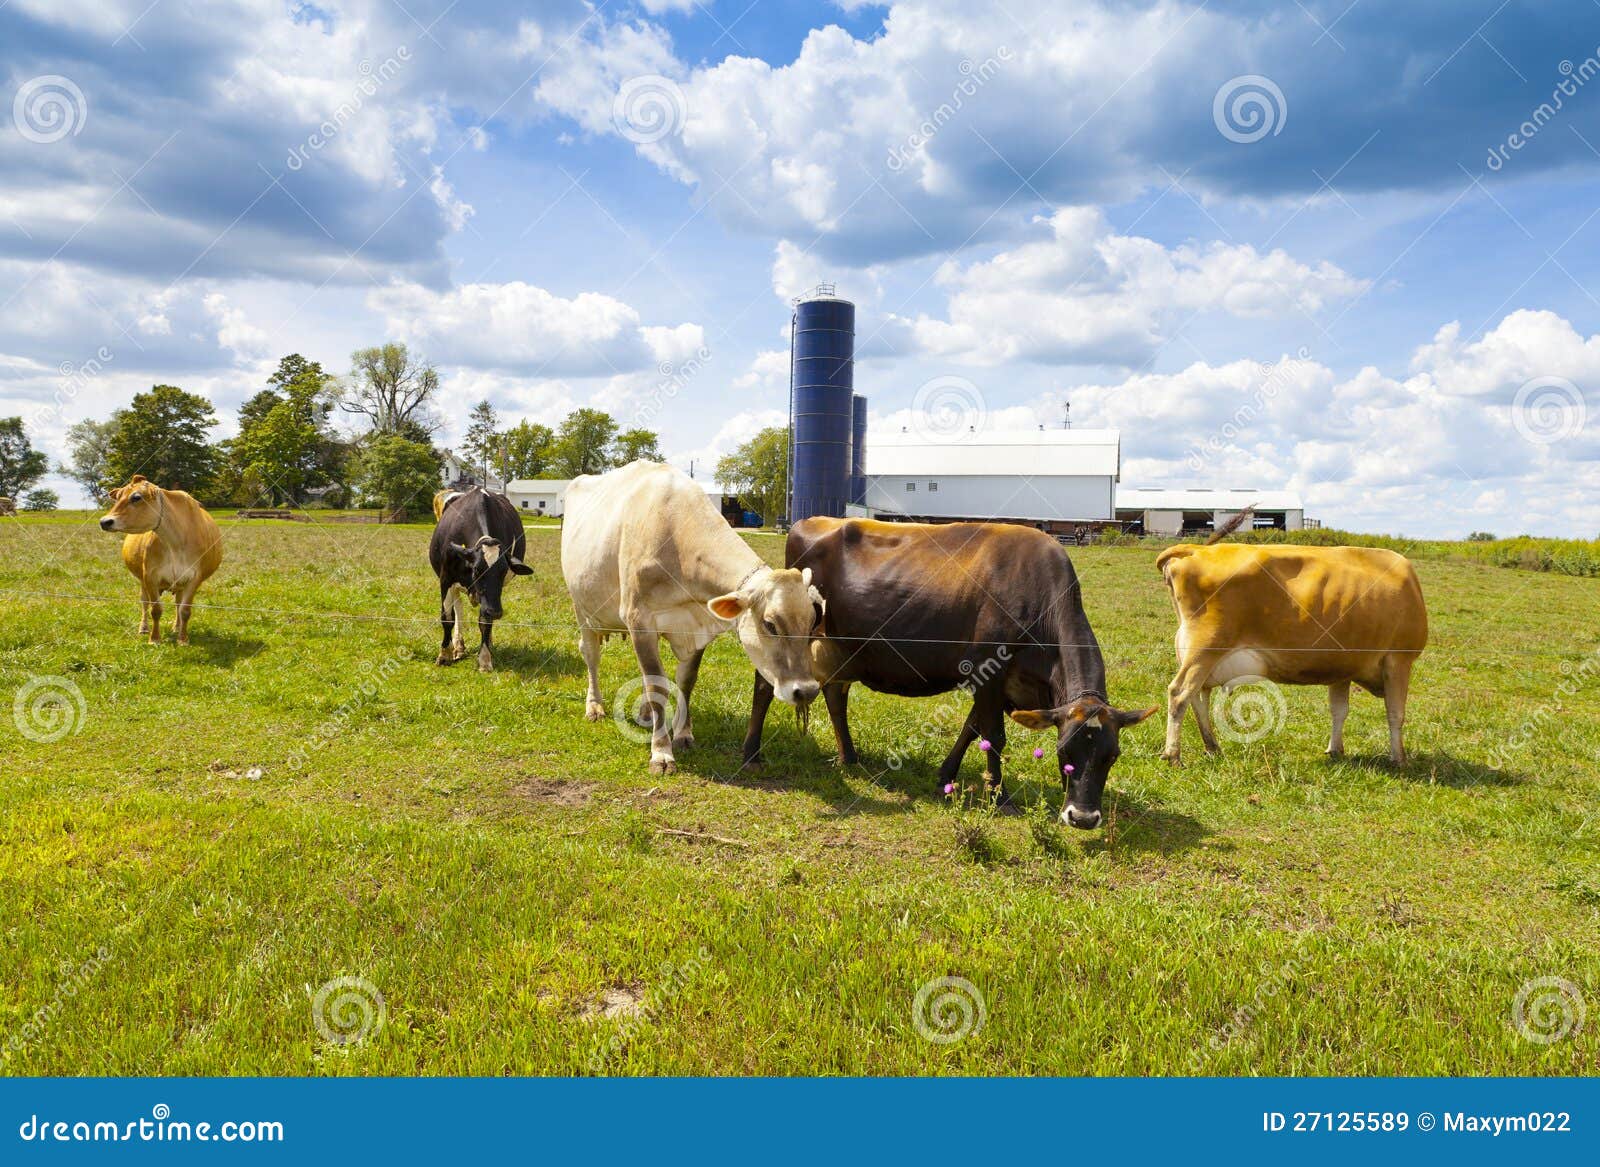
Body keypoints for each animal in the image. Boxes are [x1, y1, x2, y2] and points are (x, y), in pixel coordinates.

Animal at [98, 475, 223, 645]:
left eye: (136, 497)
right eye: (117, 497)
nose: (105, 521)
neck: (175, 541)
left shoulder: (195, 578)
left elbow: (185, 610)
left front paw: (183, 639)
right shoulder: (150, 576)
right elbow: (155, 609)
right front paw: (155, 638)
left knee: (178, 603)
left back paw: (177, 627)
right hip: (142, 580)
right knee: (144, 602)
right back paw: (144, 628)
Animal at [429, 487, 532, 672]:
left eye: (504, 571)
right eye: (477, 569)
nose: (496, 612)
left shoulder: (491, 598)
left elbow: (485, 621)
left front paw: (485, 658)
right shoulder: (446, 579)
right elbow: (447, 618)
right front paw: (444, 655)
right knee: (458, 607)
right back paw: (458, 646)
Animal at [560, 460, 822, 775]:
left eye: (812, 622)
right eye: (770, 624)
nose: (806, 691)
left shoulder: (697, 627)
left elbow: (685, 680)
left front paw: (683, 733)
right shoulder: (639, 619)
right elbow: (656, 682)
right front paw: (661, 753)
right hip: (582, 608)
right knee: (591, 655)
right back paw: (594, 706)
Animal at [744, 517, 1157, 829]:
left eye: (1112, 756)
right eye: (1063, 750)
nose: (1083, 818)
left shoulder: (999, 684)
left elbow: (972, 729)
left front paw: (947, 775)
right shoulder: (989, 671)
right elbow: (994, 736)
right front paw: (999, 796)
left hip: (843, 648)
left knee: (835, 695)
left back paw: (849, 755)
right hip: (788, 637)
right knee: (765, 686)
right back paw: (752, 754)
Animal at [1156, 542, 1428, 764]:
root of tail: (1197, 548)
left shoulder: (1342, 668)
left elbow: (1339, 710)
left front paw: (1335, 749)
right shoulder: (1399, 659)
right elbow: (1395, 713)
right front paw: (1399, 758)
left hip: (1200, 655)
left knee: (1198, 697)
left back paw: (1212, 746)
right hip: (1206, 648)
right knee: (1180, 693)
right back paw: (1173, 754)